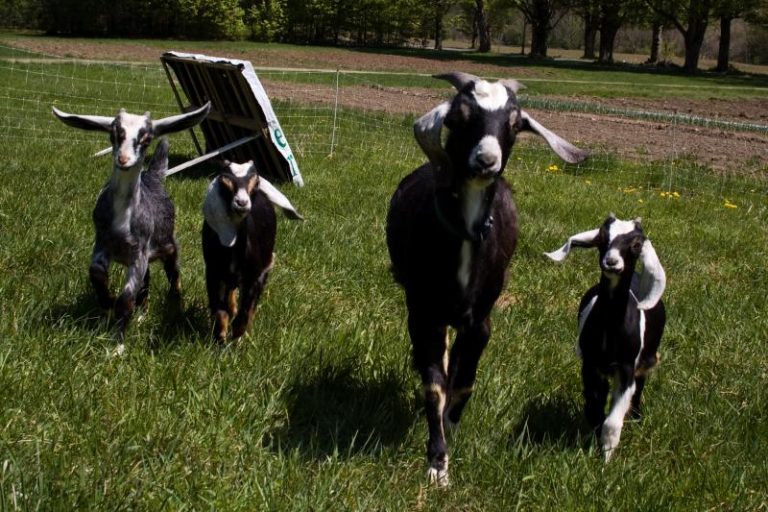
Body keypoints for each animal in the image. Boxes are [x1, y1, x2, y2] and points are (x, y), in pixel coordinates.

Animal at [52, 102, 211, 341]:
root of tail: (153, 176)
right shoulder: (103, 243)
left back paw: (173, 303)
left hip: (168, 245)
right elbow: (96, 273)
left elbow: (126, 299)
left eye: (146, 138)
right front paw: (107, 301)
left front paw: (117, 344)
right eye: (115, 134)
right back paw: (142, 315)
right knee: (146, 282)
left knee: (173, 274)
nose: (124, 159)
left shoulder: (139, 251)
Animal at [202, 160, 302, 343]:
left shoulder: (255, 276)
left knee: (250, 307)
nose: (242, 203)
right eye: (224, 179)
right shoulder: (213, 271)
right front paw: (219, 340)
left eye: (255, 181)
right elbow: (220, 312)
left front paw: (237, 340)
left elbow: (244, 313)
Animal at [386, 72, 589, 485]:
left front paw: (450, 427)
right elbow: (434, 384)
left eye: (515, 124)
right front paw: (438, 463)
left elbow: (463, 384)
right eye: (459, 117)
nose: (486, 160)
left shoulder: (480, 322)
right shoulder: (423, 314)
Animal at [545, 214, 666, 461]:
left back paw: (636, 418)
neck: (610, 329)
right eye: (602, 237)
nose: (611, 262)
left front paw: (607, 458)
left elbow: (612, 422)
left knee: (640, 387)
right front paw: (595, 441)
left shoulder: (626, 369)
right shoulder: (590, 364)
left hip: (644, 362)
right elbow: (594, 406)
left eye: (636, 244)